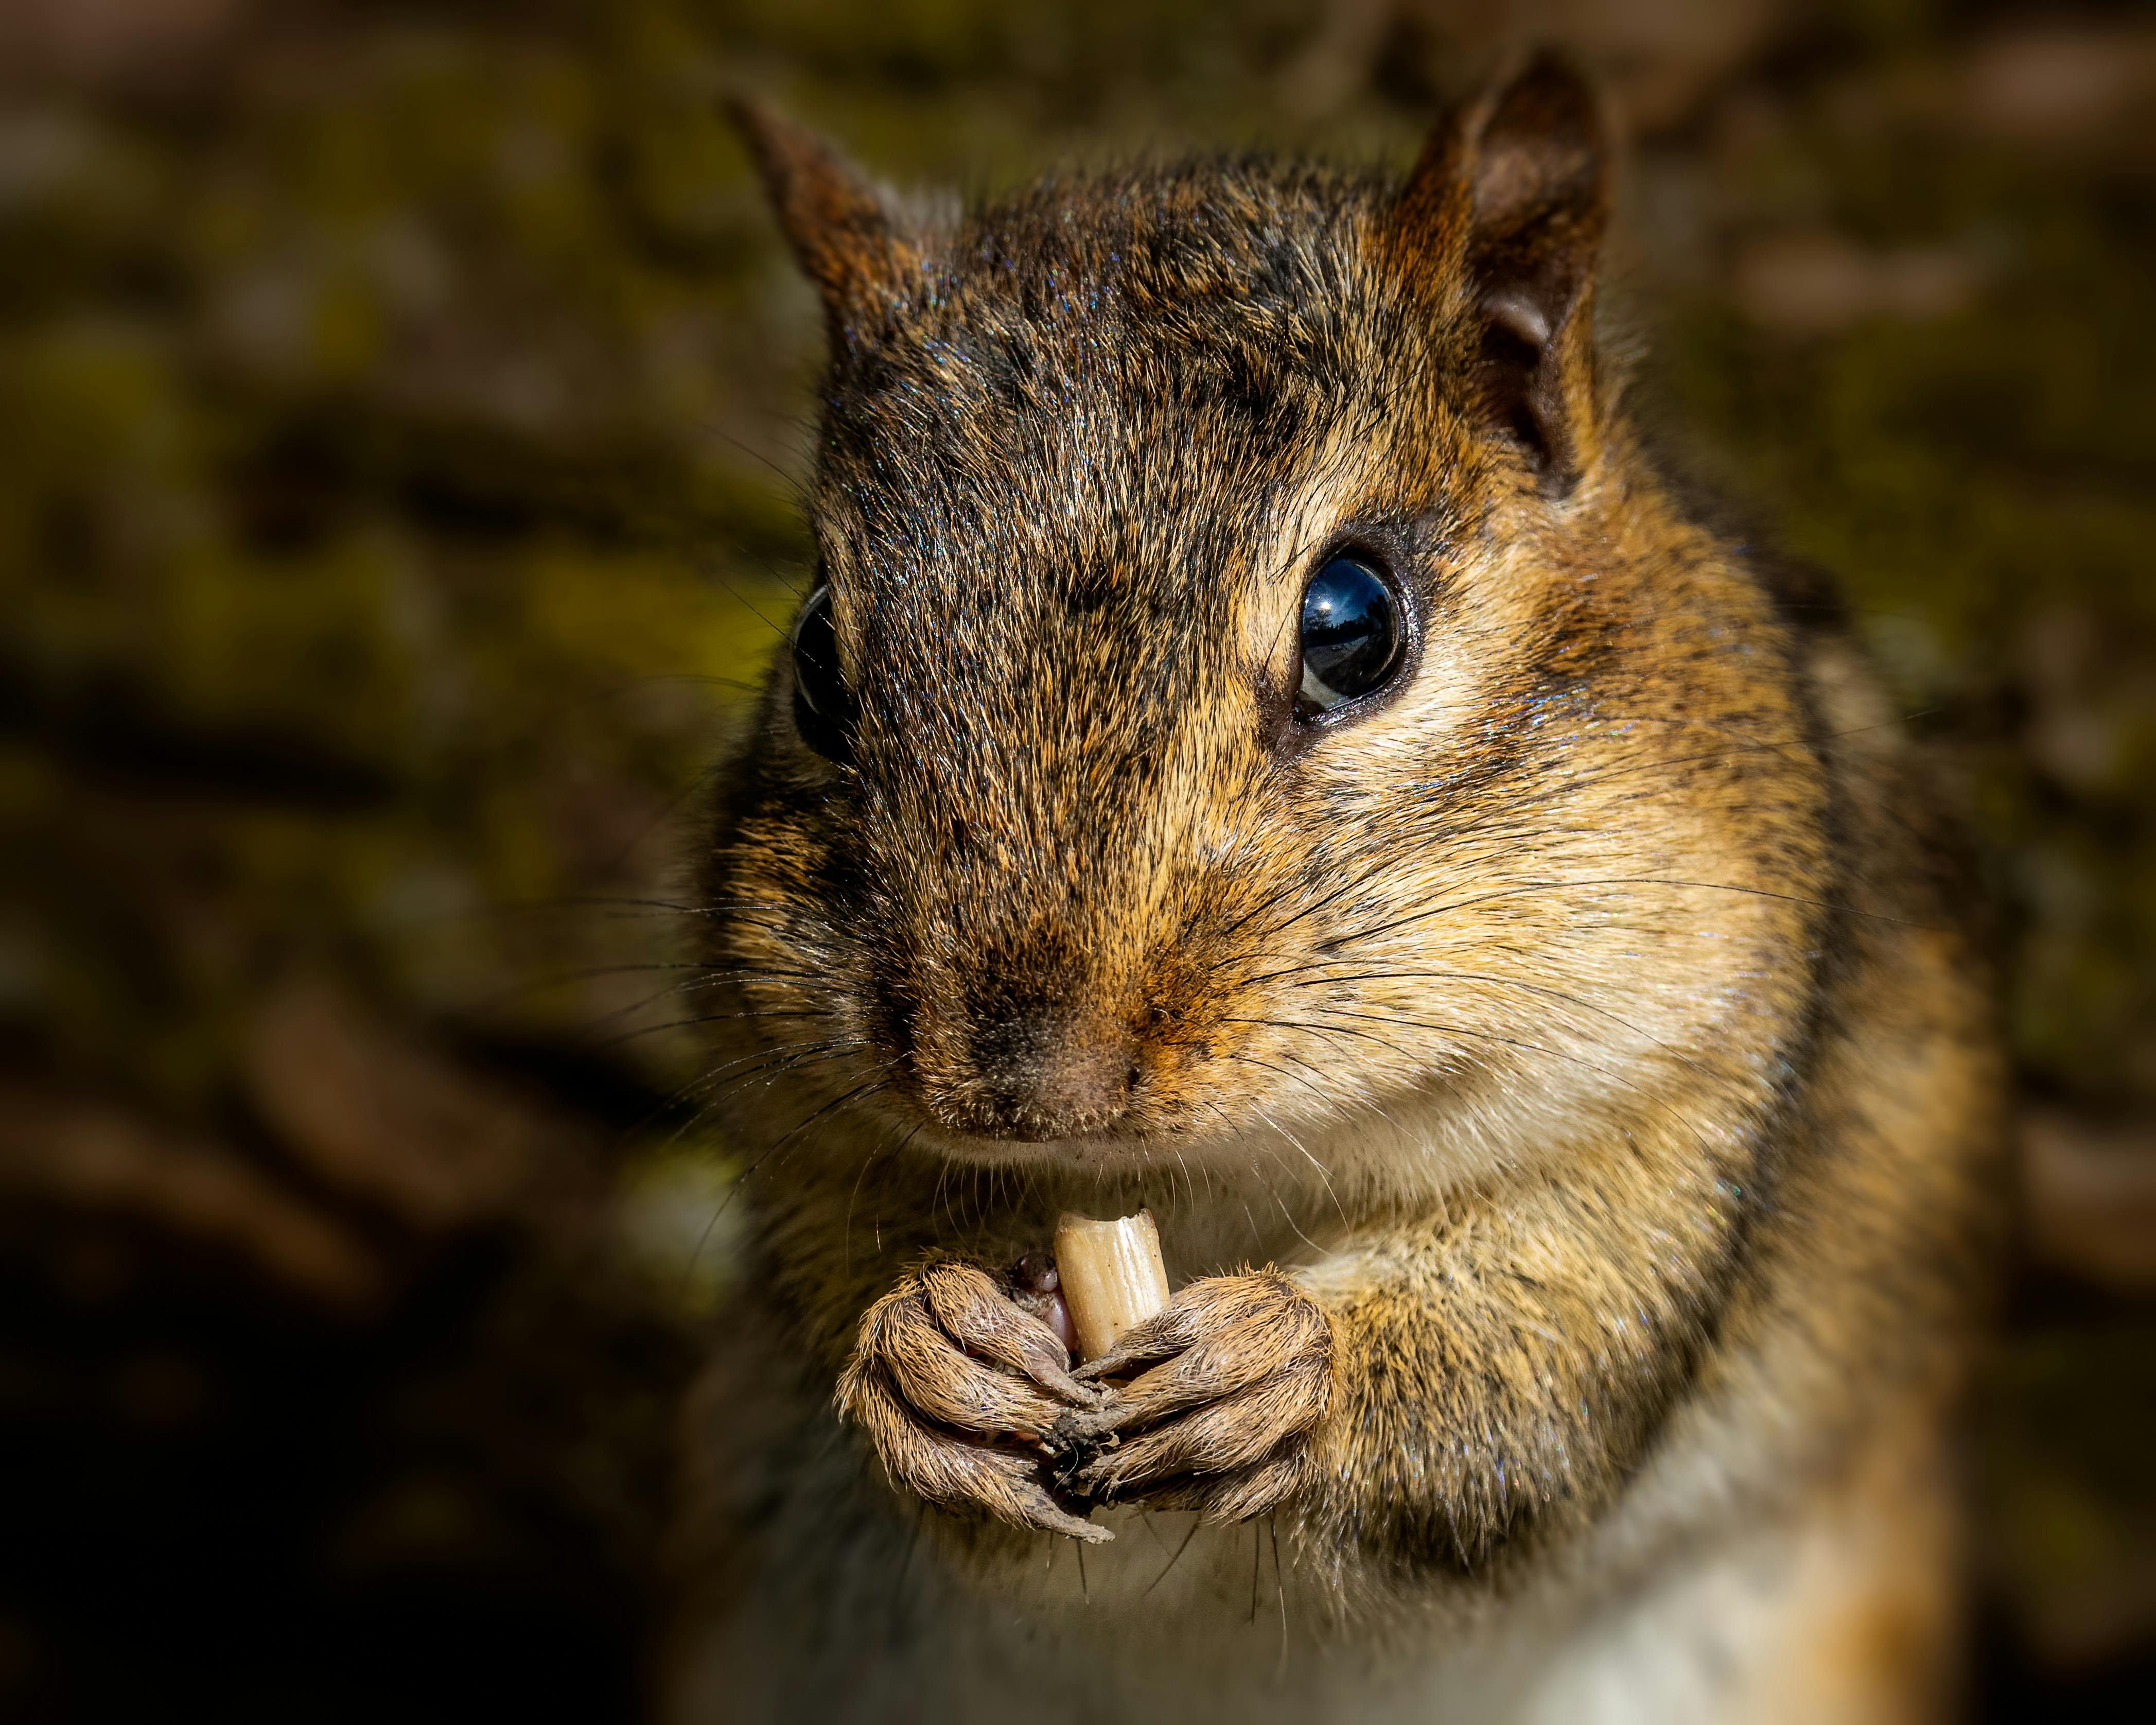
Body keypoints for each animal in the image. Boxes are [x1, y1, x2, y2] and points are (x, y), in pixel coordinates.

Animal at [668, 52, 2005, 1725]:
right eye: (815, 659)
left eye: (1354, 622)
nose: (1022, 1088)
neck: (1225, 1181)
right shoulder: (789, 1112)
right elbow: (838, 1256)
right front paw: (927, 1350)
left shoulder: (1704, 1076)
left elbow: (1539, 1356)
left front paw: (1287, 1366)